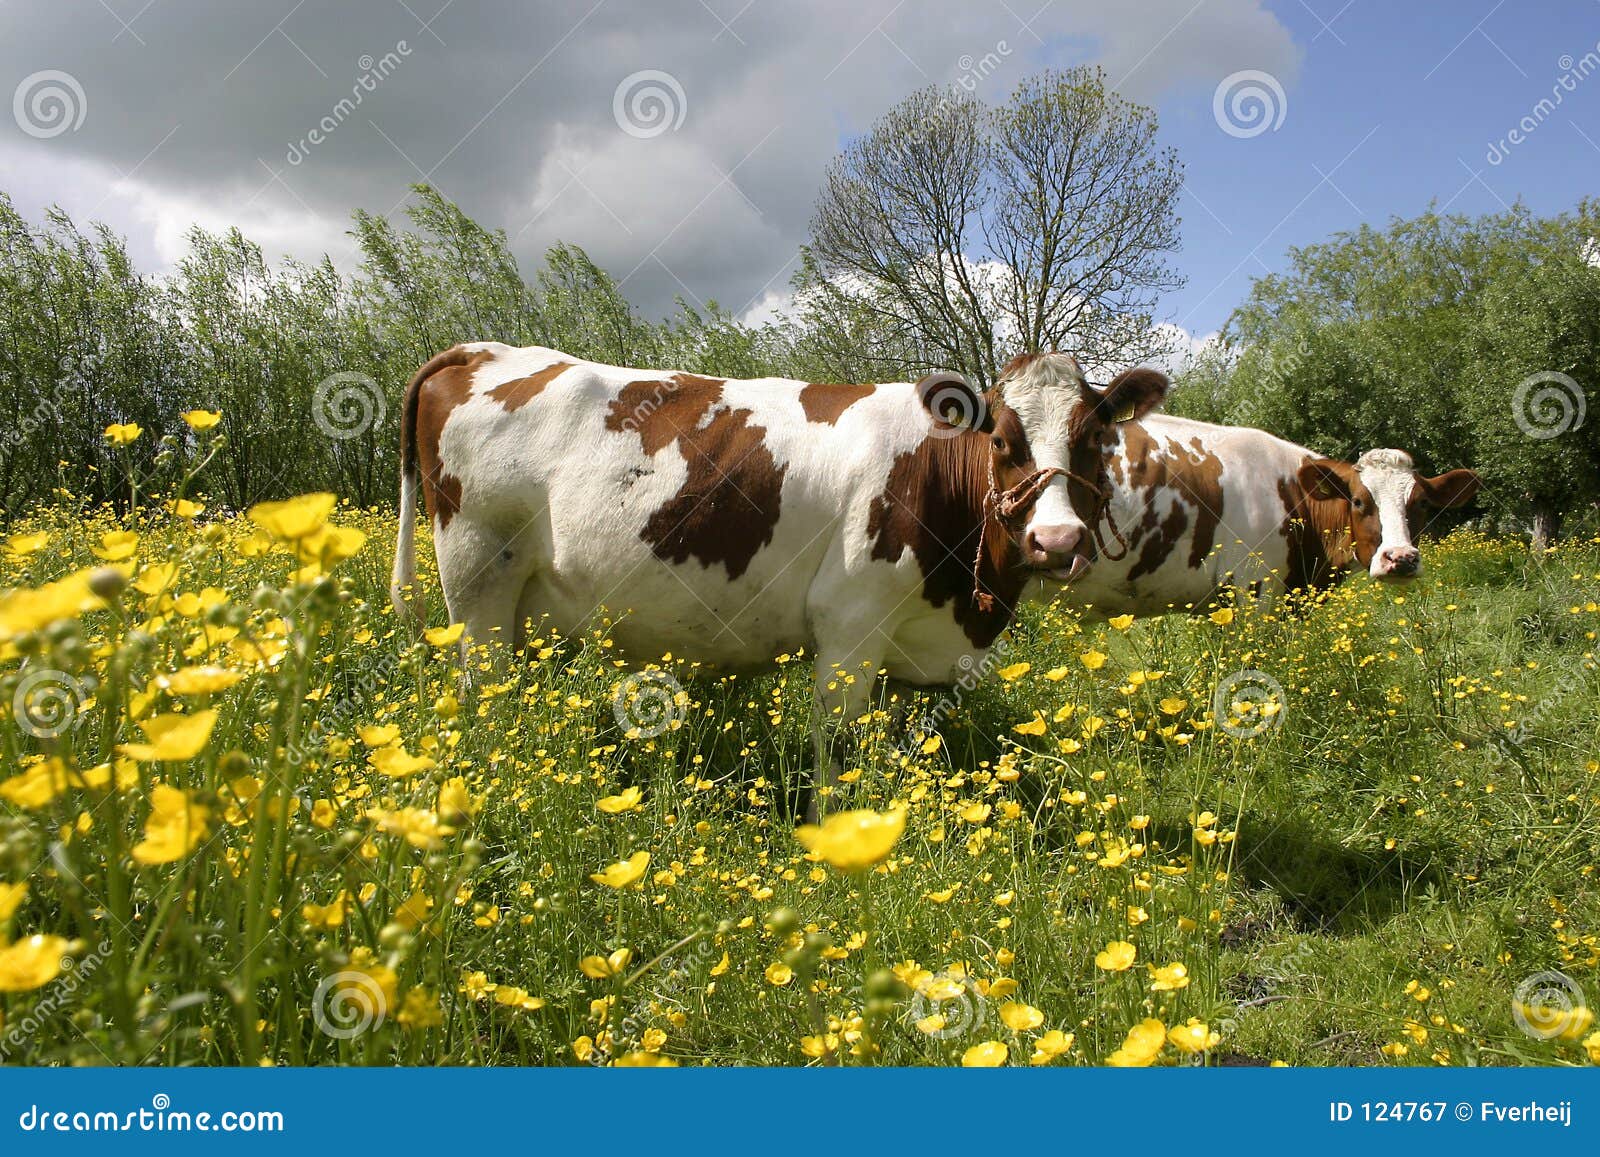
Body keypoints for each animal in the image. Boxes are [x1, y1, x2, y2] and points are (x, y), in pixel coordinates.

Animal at [388, 344, 1478, 816]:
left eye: (1095, 436)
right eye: (1000, 436)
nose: (1057, 540)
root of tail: (482, 347)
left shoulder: (926, 649)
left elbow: (919, 755)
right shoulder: (847, 635)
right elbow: (843, 763)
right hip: (476, 590)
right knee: (483, 705)